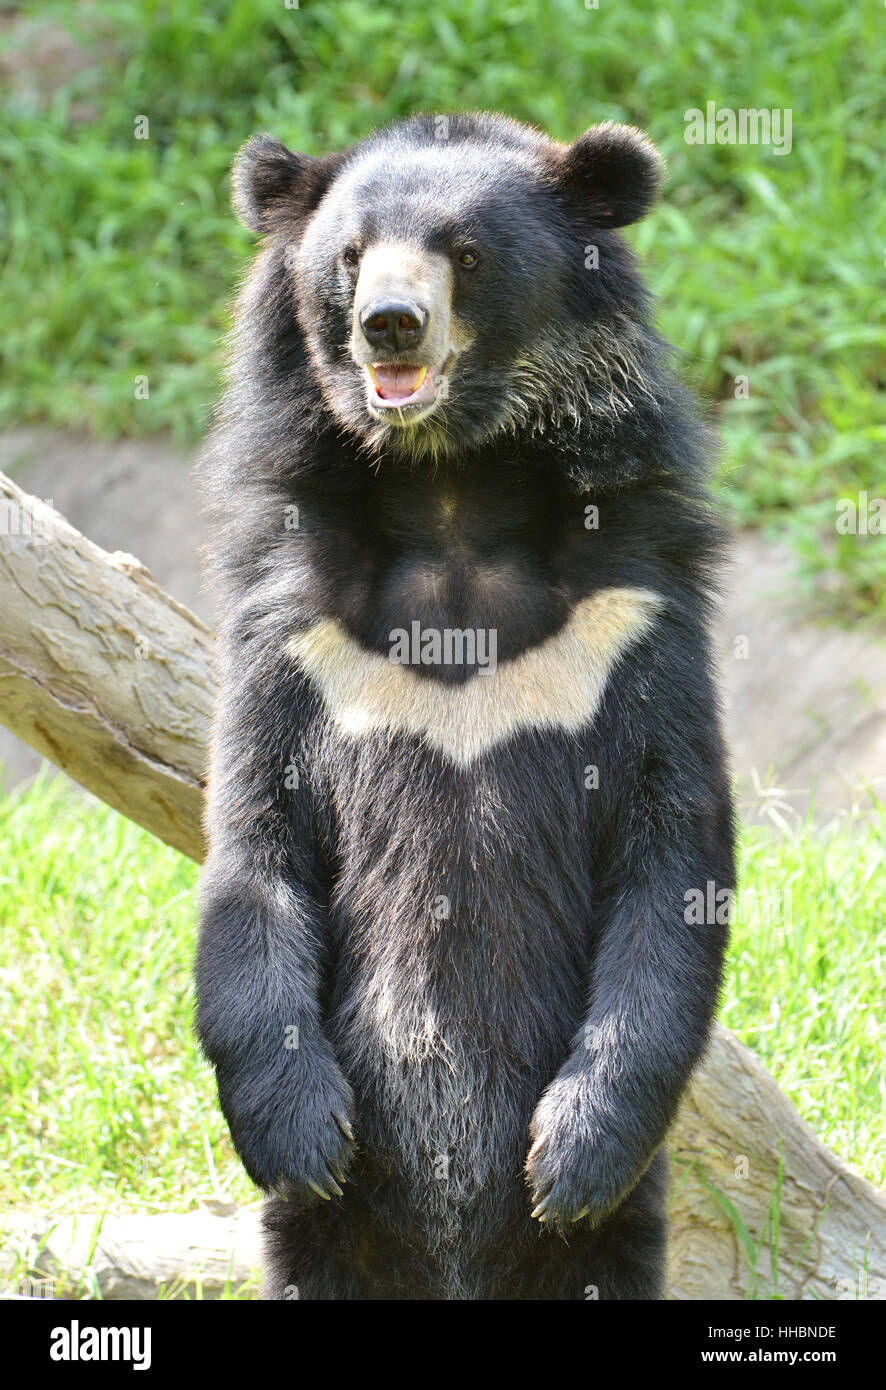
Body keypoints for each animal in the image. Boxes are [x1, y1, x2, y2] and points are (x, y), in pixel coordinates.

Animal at [195, 111, 736, 1301]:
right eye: (349, 259)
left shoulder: (634, 619)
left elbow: (670, 858)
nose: (388, 327)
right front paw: (303, 1136)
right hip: (325, 1246)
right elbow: (253, 847)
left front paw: (570, 1154)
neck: (449, 494)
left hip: (614, 1244)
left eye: (466, 253)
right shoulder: (293, 628)